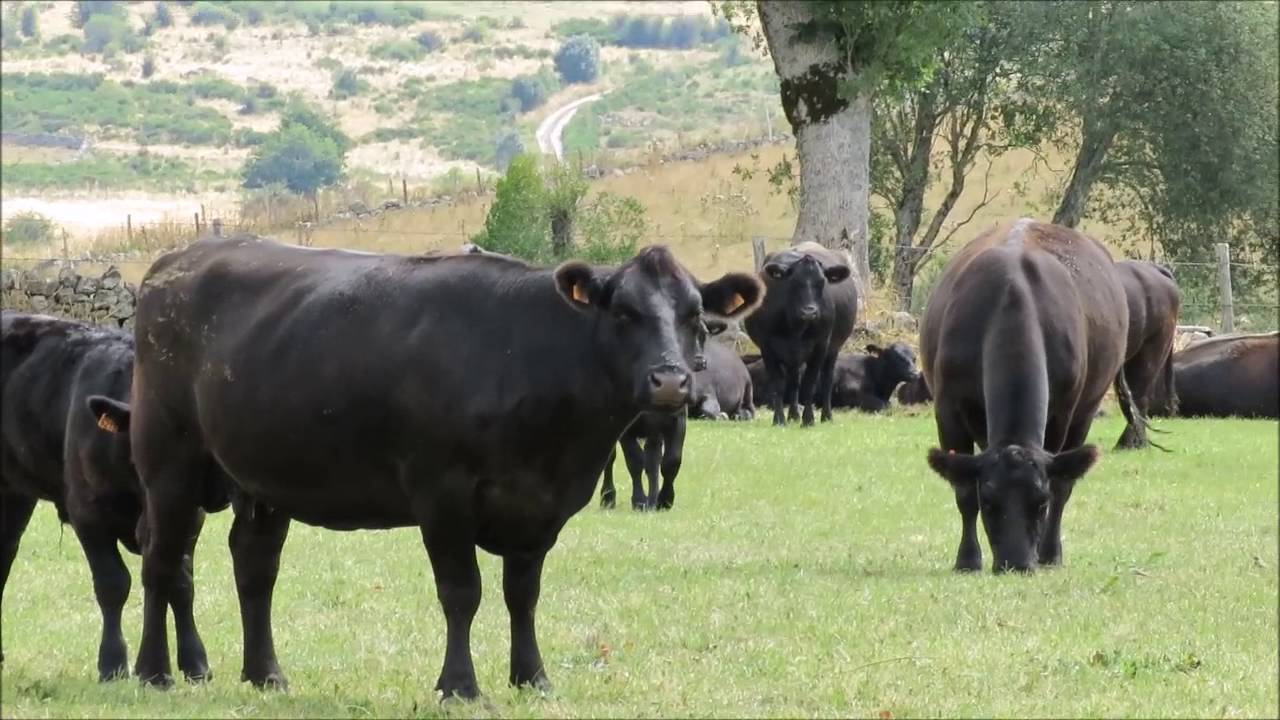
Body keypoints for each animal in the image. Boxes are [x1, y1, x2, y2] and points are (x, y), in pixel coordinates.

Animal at [0, 311, 210, 682]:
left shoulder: (188, 518)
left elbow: (181, 583)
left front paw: (195, 663)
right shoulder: (87, 512)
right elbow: (113, 583)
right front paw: (112, 663)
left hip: (16, 492)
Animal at [123, 235, 762, 698]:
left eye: (696, 315)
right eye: (624, 312)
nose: (671, 381)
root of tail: (180, 258)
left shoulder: (539, 506)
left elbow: (522, 594)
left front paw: (532, 677)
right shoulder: (443, 494)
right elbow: (462, 593)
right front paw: (459, 686)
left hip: (261, 476)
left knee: (253, 568)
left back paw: (266, 675)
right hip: (167, 462)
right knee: (164, 562)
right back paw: (154, 672)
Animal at [744, 242, 858, 426]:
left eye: (822, 282)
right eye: (794, 282)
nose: (810, 311)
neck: (796, 325)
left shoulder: (820, 347)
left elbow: (810, 383)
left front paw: (809, 419)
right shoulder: (767, 349)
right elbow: (778, 385)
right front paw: (779, 419)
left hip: (833, 349)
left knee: (826, 379)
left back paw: (826, 416)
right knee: (794, 381)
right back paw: (793, 415)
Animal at [919, 219, 1138, 574]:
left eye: (1041, 503)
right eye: (989, 502)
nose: (1017, 563)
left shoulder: (1061, 412)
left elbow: (1059, 483)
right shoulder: (947, 409)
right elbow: (963, 491)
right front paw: (967, 559)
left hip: (1085, 412)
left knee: (1066, 484)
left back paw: (1051, 553)